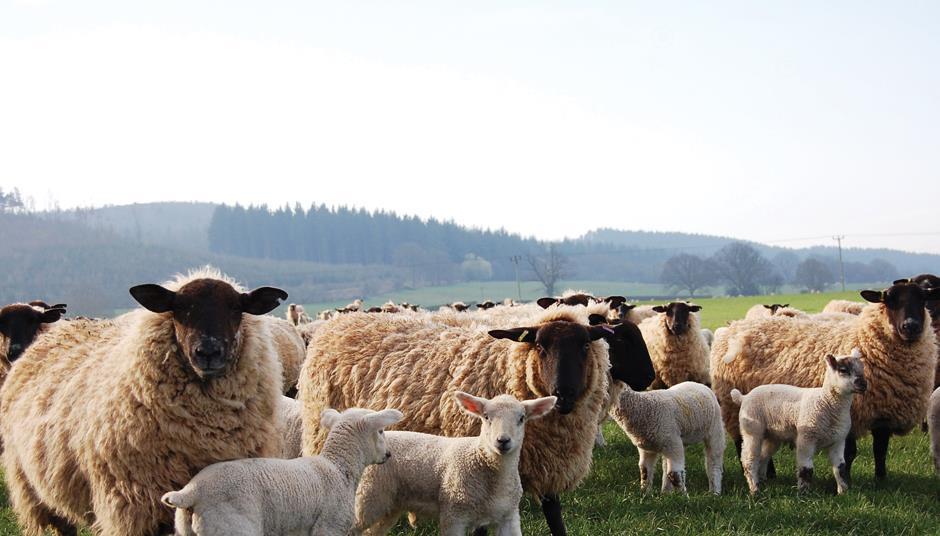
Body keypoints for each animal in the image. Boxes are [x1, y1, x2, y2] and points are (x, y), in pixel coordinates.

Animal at [0, 267, 288, 536]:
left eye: (236, 308)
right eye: (179, 308)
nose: (207, 352)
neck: (204, 431)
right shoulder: (134, 504)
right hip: (32, 486)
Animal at [162, 407, 403, 536]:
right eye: (381, 431)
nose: (388, 455)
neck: (338, 467)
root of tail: (191, 492)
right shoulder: (328, 527)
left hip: (185, 529)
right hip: (232, 527)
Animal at [353, 392, 556, 535]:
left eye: (522, 418)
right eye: (486, 416)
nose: (503, 441)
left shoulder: (509, 516)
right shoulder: (453, 515)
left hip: (388, 504)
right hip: (368, 497)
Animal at [731, 349, 867, 495]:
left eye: (862, 368)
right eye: (843, 370)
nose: (863, 384)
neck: (826, 402)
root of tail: (744, 397)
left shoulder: (838, 440)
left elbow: (840, 468)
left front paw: (843, 492)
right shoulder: (806, 438)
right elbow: (806, 468)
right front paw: (804, 493)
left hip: (772, 435)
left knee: (763, 457)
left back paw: (762, 481)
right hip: (751, 429)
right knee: (749, 460)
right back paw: (755, 489)